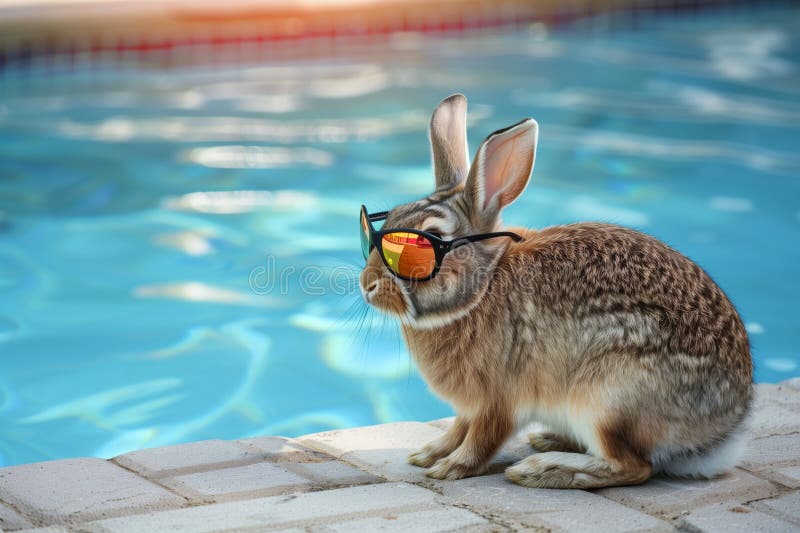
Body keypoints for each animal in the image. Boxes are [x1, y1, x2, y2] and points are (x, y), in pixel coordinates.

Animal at [359, 93, 753, 488]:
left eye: (424, 243)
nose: (367, 285)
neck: (482, 289)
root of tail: (720, 432)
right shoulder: (470, 408)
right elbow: (458, 428)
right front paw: (428, 454)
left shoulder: (498, 400)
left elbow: (482, 439)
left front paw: (450, 468)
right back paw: (549, 441)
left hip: (603, 399)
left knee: (633, 466)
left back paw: (544, 469)